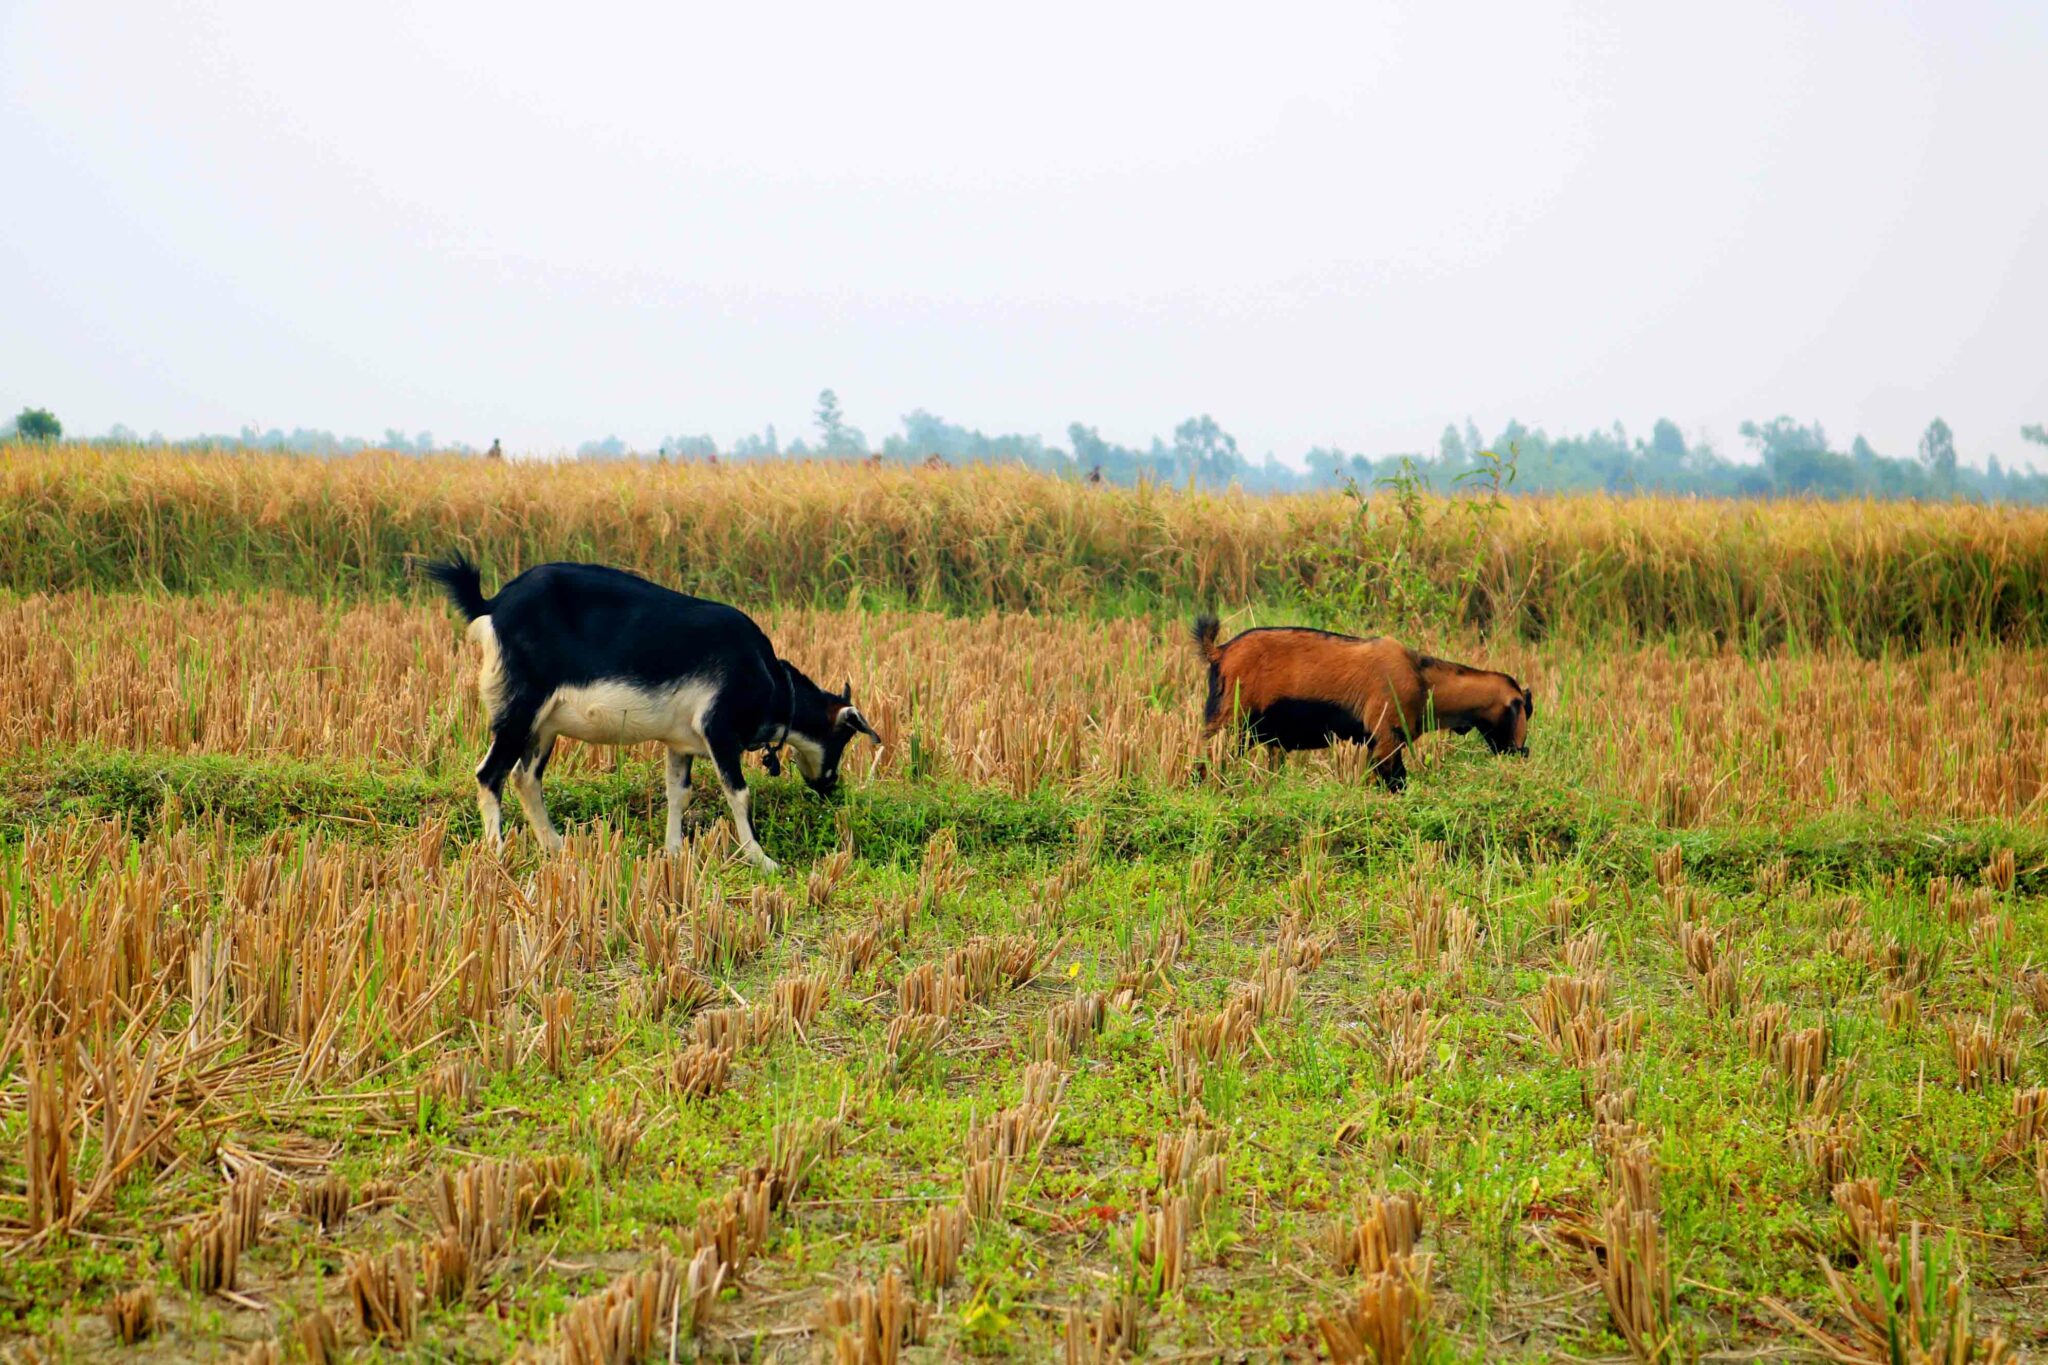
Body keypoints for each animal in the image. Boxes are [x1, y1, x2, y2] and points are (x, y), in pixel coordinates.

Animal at [425, 555, 879, 871]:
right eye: (844, 737)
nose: (829, 786)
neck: (767, 677)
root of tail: (494, 604)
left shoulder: (680, 743)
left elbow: (678, 792)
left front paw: (674, 852)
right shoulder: (719, 729)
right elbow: (739, 792)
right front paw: (761, 859)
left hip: (544, 726)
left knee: (524, 777)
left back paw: (554, 846)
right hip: (520, 707)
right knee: (490, 774)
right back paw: (499, 852)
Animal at [1191, 615, 1531, 792]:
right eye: (1519, 711)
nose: (1520, 752)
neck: (1424, 679)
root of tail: (1219, 651)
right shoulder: (1386, 736)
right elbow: (1391, 779)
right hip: (1229, 722)